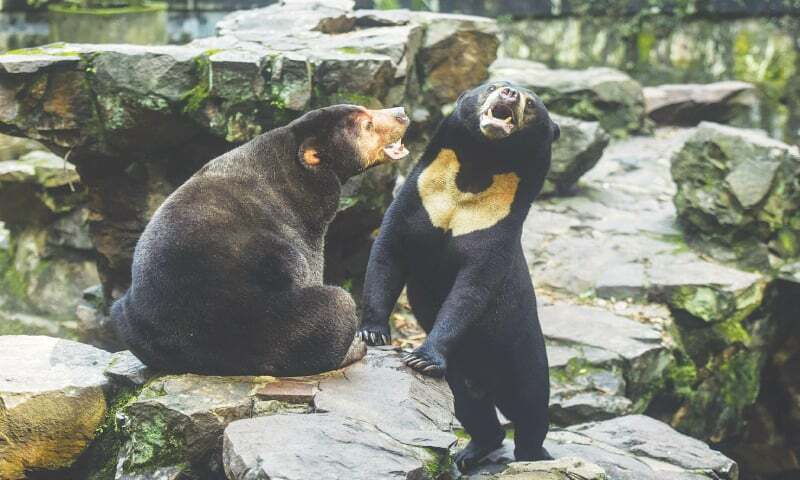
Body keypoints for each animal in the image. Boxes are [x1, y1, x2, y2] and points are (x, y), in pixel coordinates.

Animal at [112, 104, 410, 377]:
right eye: (367, 125)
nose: (402, 112)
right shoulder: (304, 229)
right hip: (274, 321)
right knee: (335, 306)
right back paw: (354, 348)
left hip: (126, 316)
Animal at [358, 81, 559, 470]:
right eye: (493, 86)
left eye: (532, 104)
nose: (510, 94)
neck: (477, 170)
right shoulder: (416, 201)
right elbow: (387, 254)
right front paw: (372, 333)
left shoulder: (495, 228)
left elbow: (471, 290)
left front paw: (421, 357)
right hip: (463, 374)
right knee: (470, 405)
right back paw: (471, 452)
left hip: (522, 351)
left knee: (530, 406)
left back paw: (532, 456)